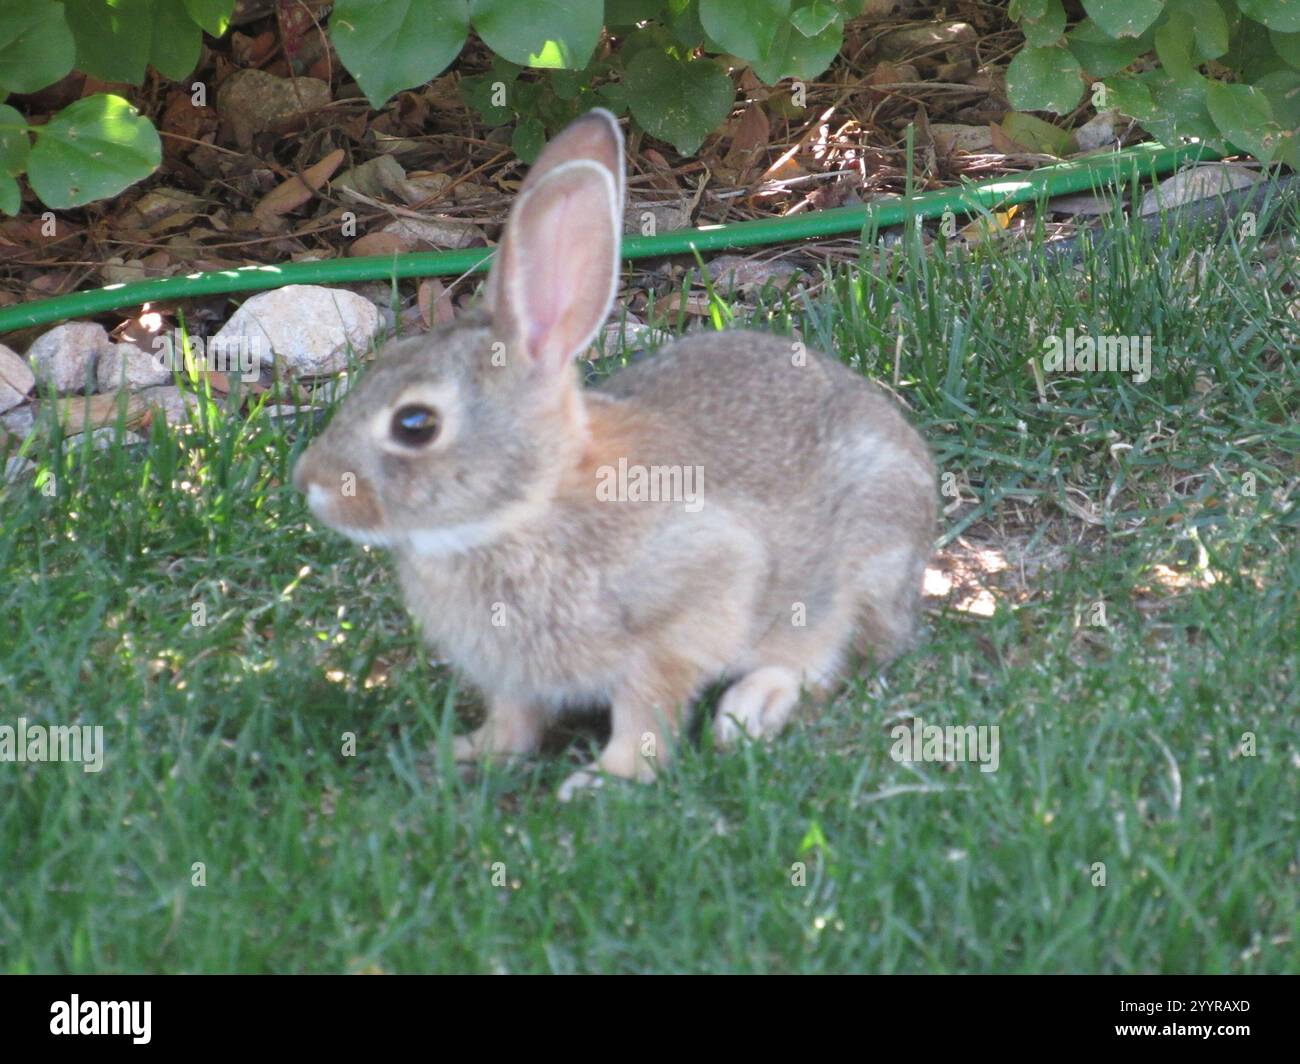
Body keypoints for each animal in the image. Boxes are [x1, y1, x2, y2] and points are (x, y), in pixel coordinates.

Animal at [293, 108, 936, 800]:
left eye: (415, 424)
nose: (311, 484)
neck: (527, 507)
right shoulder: (514, 677)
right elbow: (514, 721)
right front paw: (468, 754)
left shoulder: (684, 615)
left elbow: (646, 712)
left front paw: (606, 781)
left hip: (863, 557)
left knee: (825, 653)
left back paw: (751, 710)